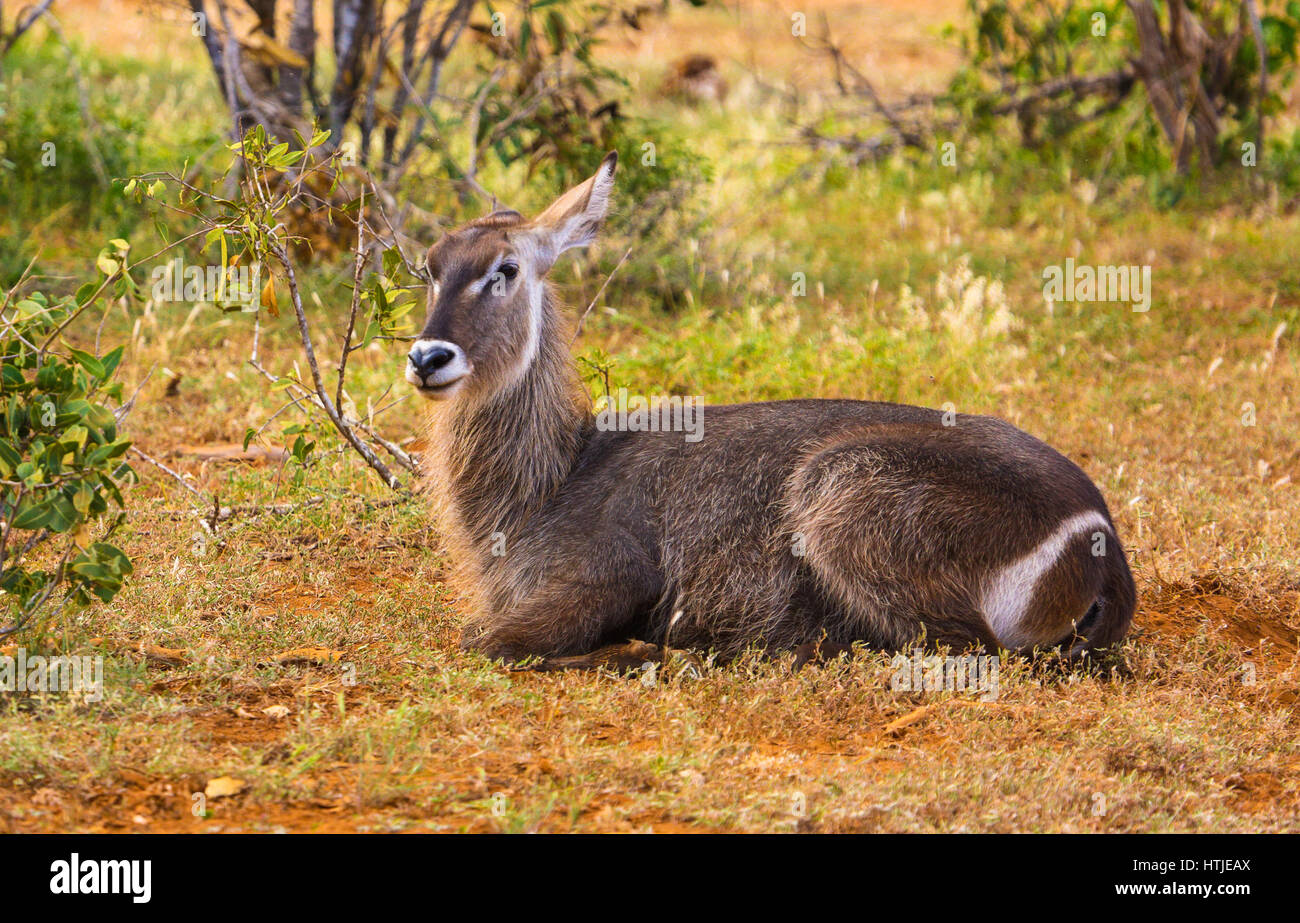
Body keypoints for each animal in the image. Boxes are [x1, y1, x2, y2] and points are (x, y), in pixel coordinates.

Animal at [407, 152, 1135, 670]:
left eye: (505, 269)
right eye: (430, 266)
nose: (427, 357)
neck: (551, 482)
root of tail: (1100, 540)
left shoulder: (606, 575)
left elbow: (484, 641)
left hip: (837, 488)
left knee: (963, 648)